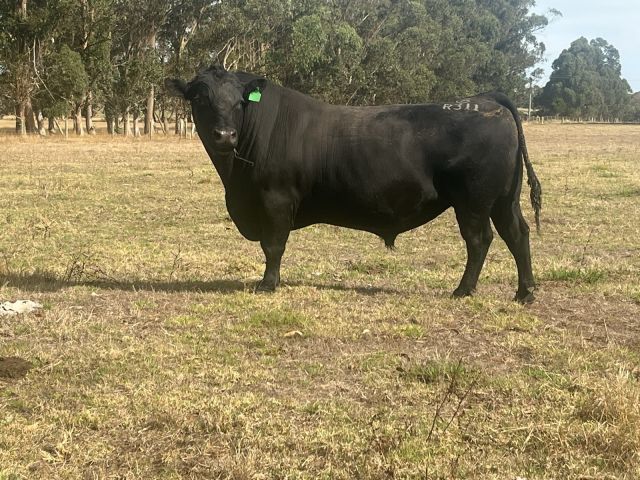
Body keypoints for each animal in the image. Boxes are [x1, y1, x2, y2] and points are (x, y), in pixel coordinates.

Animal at [165, 66, 542, 303]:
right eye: (199, 98)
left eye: (240, 101)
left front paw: (268, 284)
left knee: (479, 240)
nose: (225, 135)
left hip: (474, 200)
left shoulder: (276, 199)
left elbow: (273, 246)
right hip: (504, 199)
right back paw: (525, 293)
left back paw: (463, 290)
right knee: (517, 234)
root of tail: (486, 99)